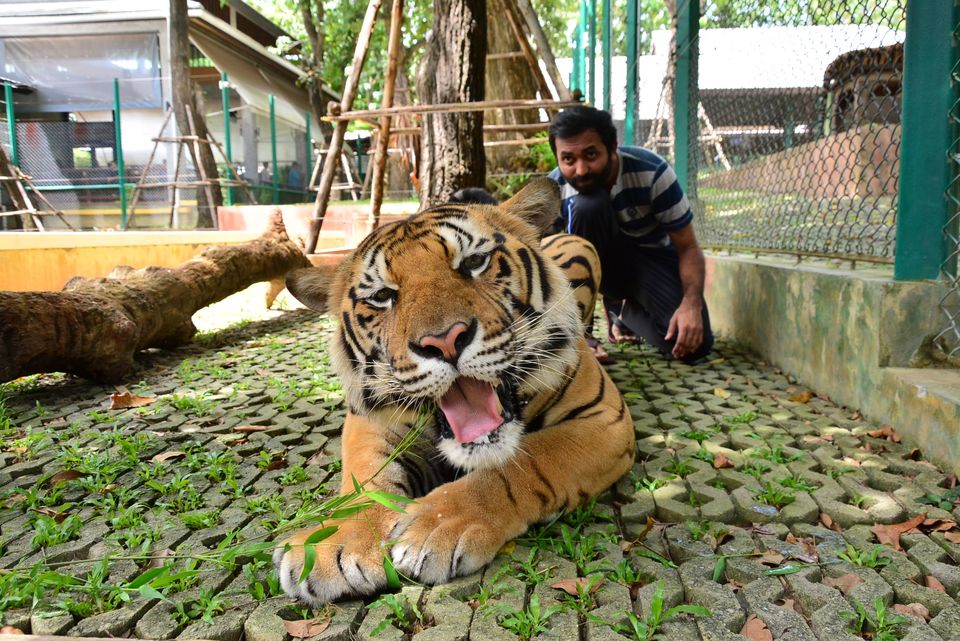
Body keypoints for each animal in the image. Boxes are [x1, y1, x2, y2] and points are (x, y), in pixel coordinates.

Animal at [275, 177, 635, 604]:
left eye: (474, 262)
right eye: (381, 296)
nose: (445, 341)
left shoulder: (605, 421)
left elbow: (525, 461)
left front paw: (435, 527)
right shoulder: (371, 421)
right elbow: (366, 480)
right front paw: (337, 543)